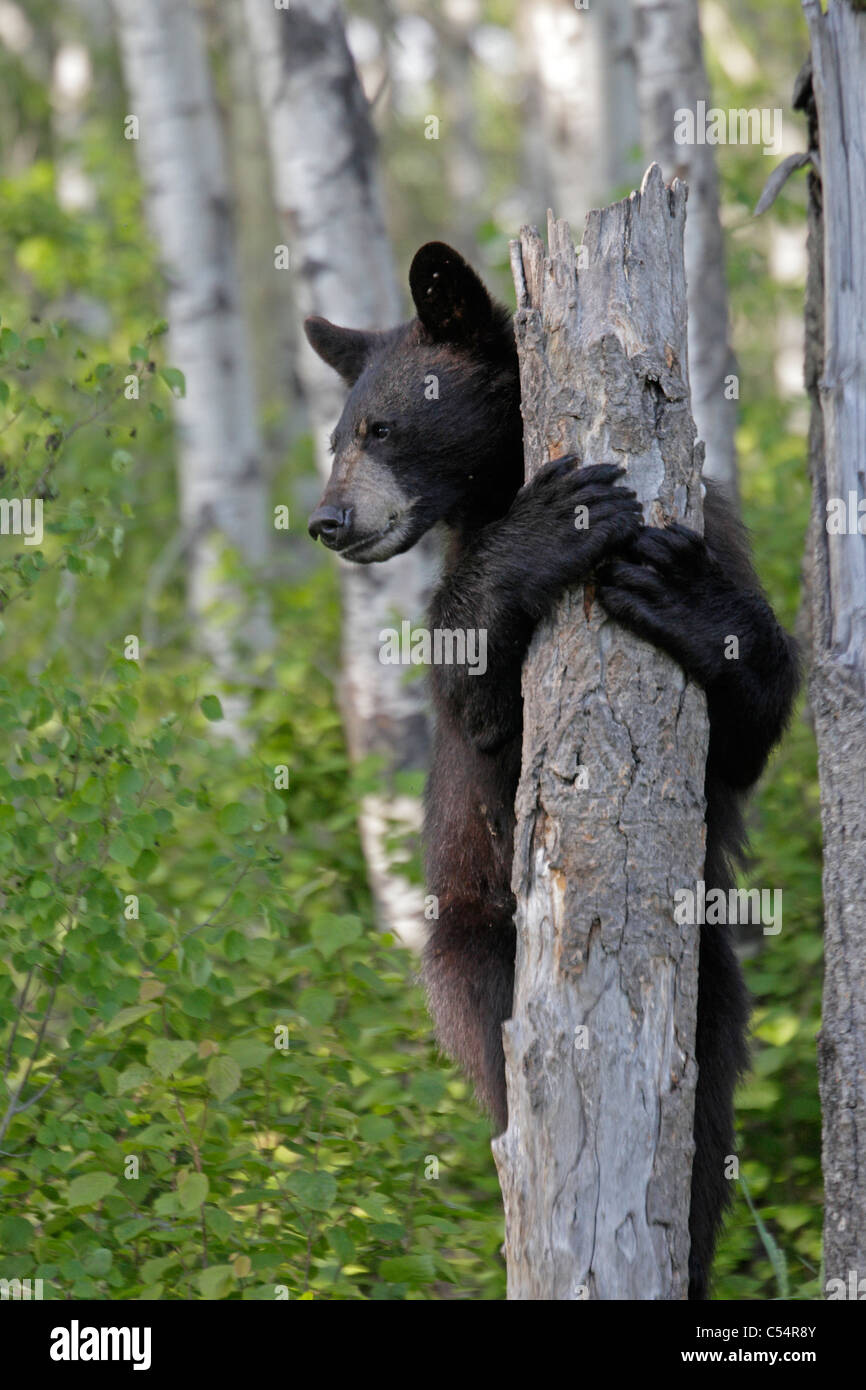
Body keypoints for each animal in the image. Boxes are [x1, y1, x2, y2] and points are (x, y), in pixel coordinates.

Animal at [305, 241, 800, 1299]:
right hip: (476, 951)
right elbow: (475, 699)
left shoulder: (715, 524)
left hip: (709, 978)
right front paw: (555, 524)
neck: (499, 479)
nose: (326, 519)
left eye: (380, 426)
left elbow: (750, 727)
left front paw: (681, 592)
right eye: (337, 434)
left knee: (705, 1115)